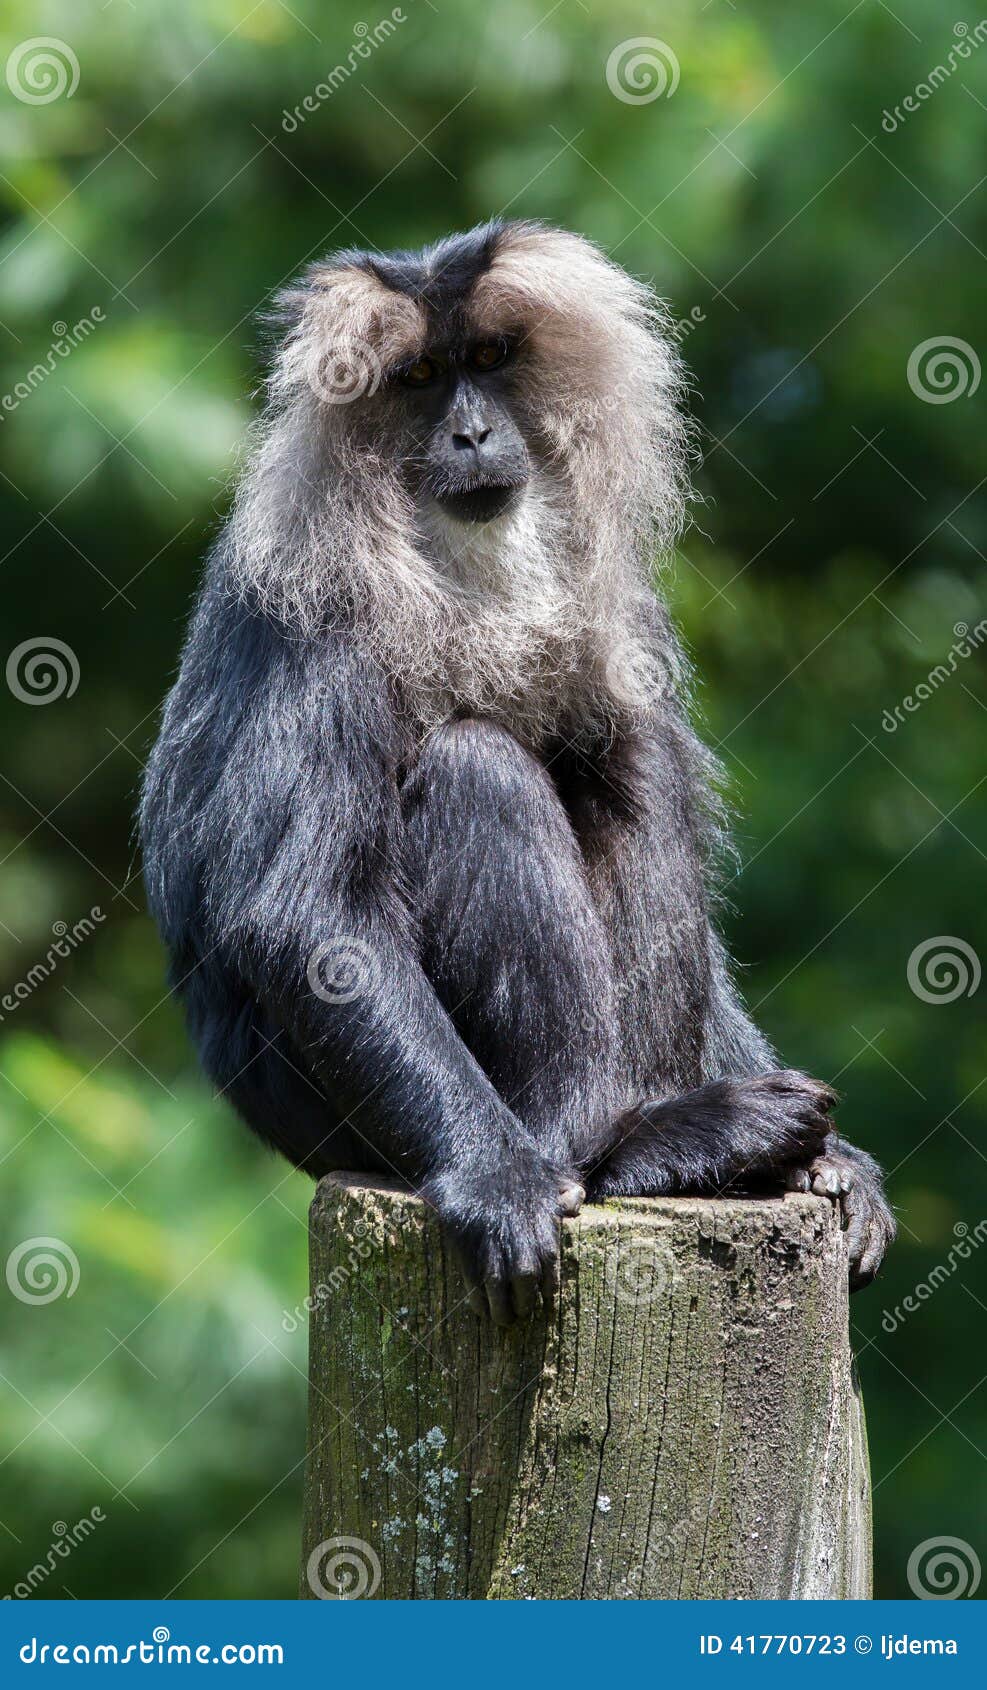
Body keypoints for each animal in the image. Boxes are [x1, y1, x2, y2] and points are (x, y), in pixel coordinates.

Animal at [140, 220, 895, 1326]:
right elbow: (305, 914)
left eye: (491, 360)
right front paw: (492, 1175)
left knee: (633, 759)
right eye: (418, 377)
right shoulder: (312, 603)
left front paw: (842, 1162)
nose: (469, 434)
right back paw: (623, 1148)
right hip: (316, 1110)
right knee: (474, 766)